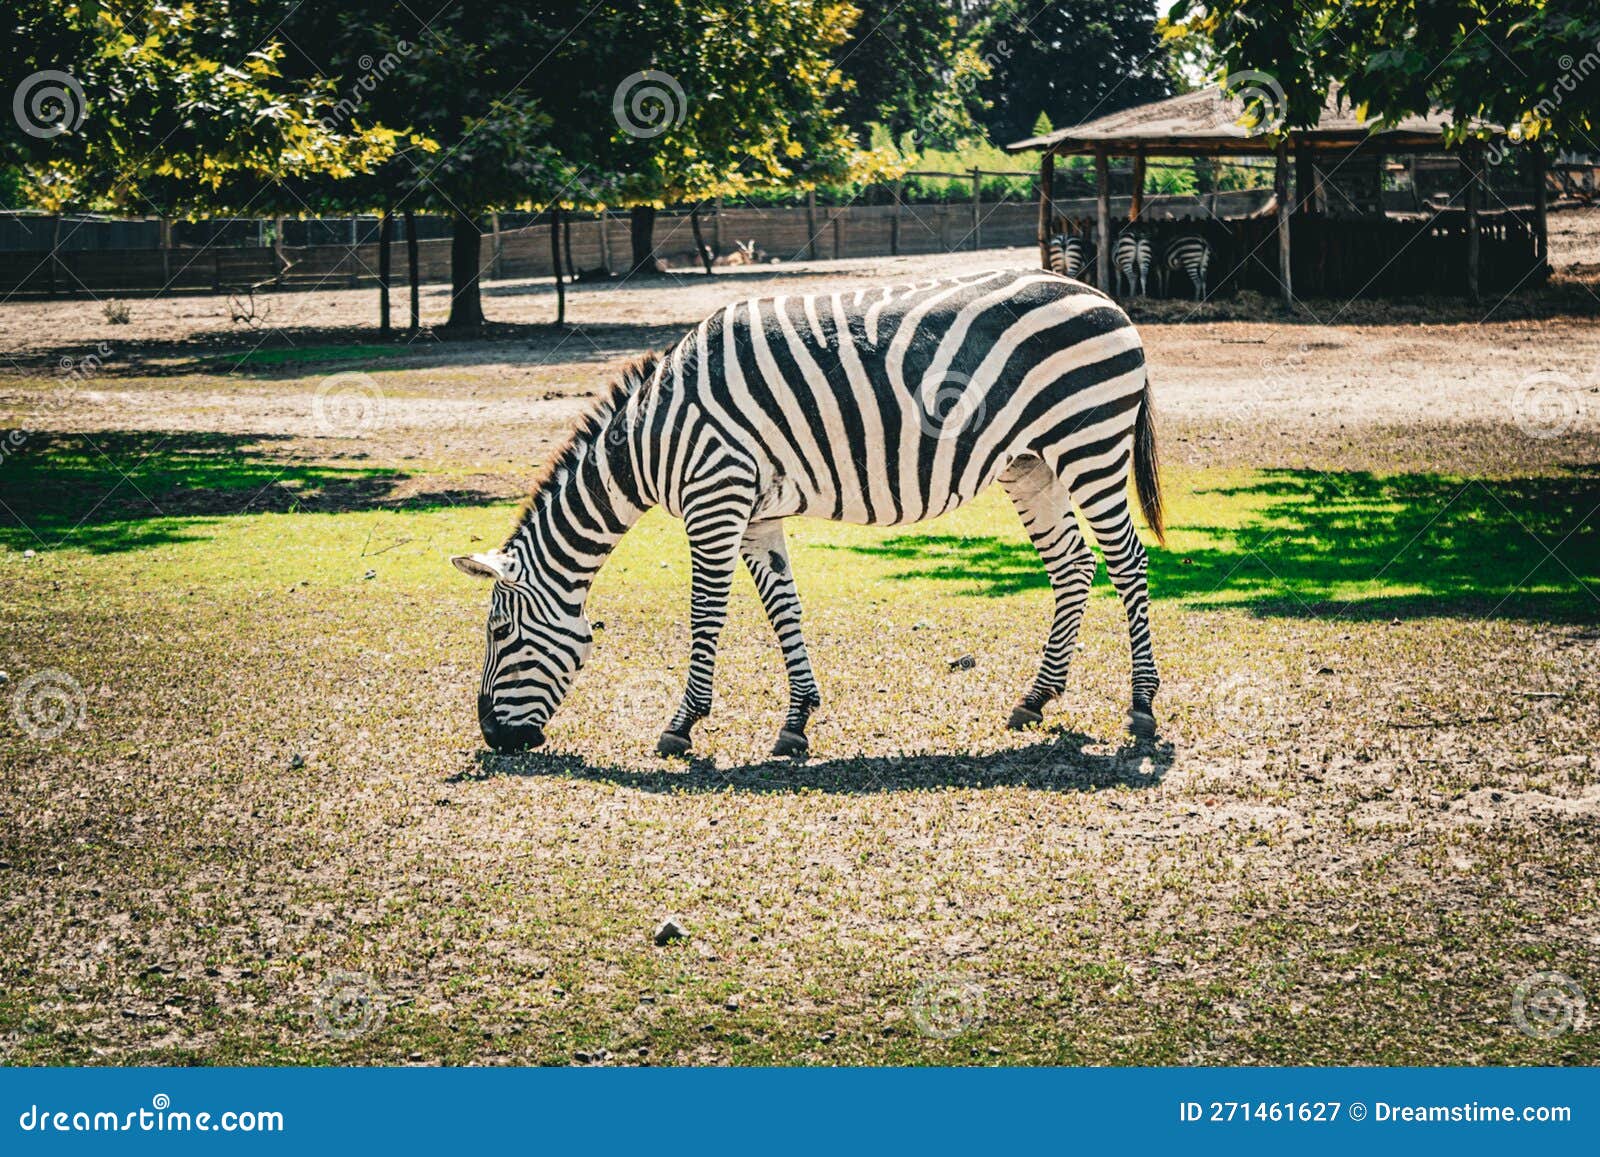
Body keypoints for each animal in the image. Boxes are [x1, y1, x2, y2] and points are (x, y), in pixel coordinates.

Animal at [453, 269, 1165, 758]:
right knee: (1073, 566)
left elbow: (706, 615)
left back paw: (1141, 706)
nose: (491, 736)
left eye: (501, 634)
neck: (657, 436)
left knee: (1128, 562)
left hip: (1089, 443)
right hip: (1031, 463)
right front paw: (796, 722)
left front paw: (681, 726)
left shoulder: (716, 497)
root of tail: (1104, 299)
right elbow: (782, 609)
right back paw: (1036, 700)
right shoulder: (755, 513)